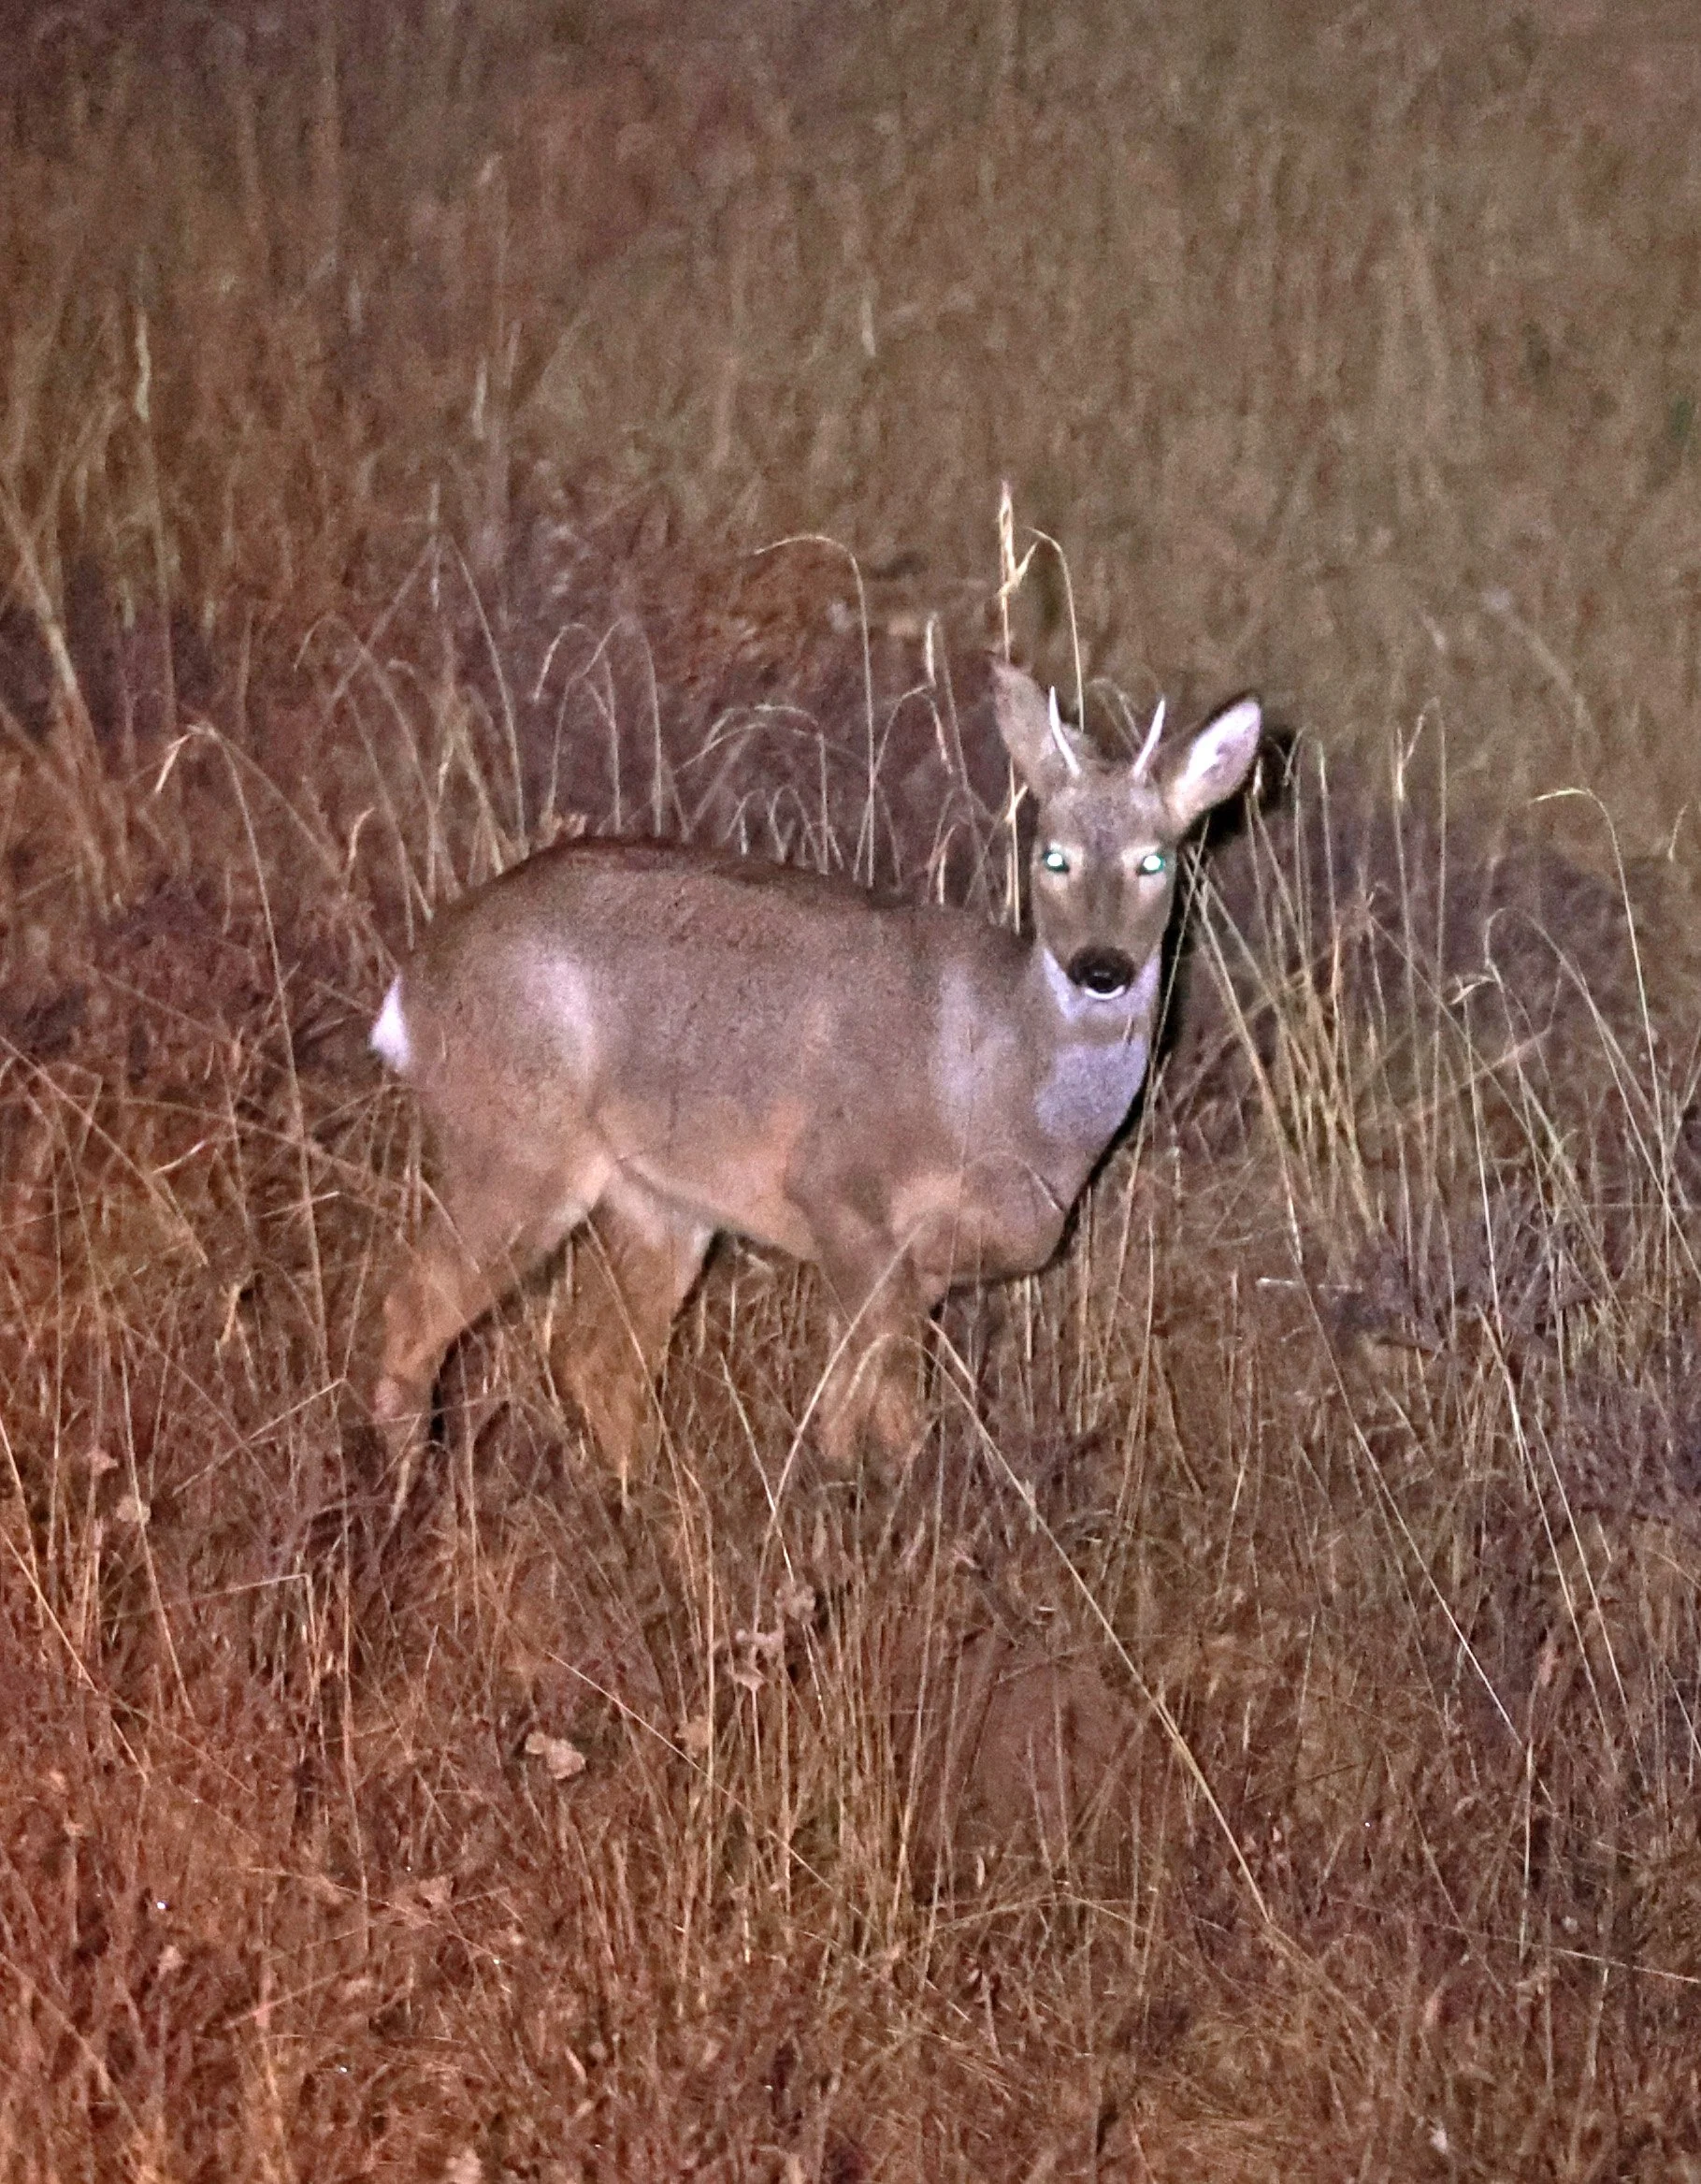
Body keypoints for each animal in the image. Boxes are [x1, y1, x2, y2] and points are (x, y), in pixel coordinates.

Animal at [366, 660, 1261, 1493]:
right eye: (1053, 857)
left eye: (1154, 861)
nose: (1100, 967)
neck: (999, 1090)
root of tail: (411, 989)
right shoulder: (839, 1189)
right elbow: (873, 1405)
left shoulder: (925, 1266)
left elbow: (872, 1401)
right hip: (517, 1147)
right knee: (412, 1313)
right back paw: (405, 1492)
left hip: (660, 1201)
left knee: (599, 1360)